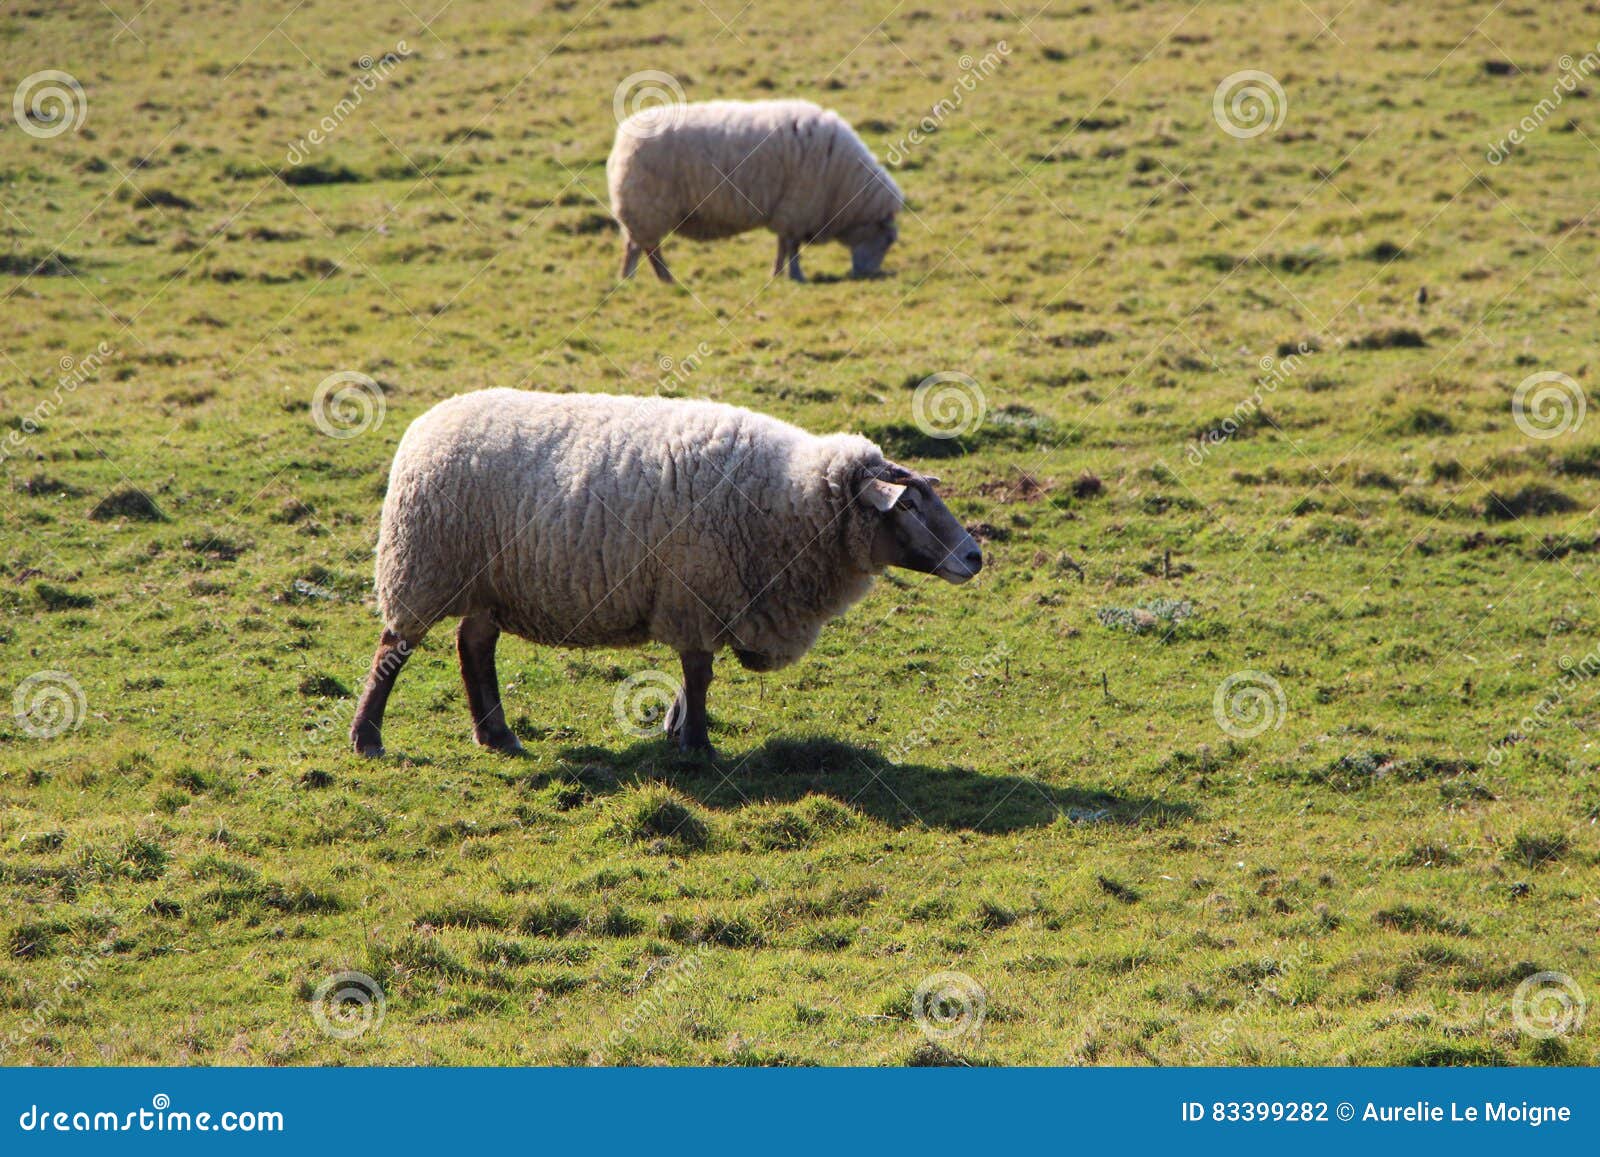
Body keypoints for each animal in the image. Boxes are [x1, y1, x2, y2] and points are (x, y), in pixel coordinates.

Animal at [350, 389, 981, 756]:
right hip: (423, 563)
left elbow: (695, 674)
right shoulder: (694, 591)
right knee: (394, 649)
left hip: (486, 581)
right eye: (906, 505)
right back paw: (367, 738)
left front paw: (679, 729)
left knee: (473, 645)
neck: (788, 500)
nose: (975, 556)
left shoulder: (706, 598)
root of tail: (427, 422)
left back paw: (498, 736)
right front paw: (697, 748)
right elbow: (699, 675)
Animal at [607, 99, 903, 284]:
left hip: (643, 208)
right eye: (887, 241)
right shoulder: (797, 208)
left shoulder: (790, 212)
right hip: (647, 205)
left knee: (636, 246)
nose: (867, 275)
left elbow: (784, 246)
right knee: (647, 249)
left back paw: (629, 279)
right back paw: (661, 279)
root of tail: (623, 138)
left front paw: (779, 274)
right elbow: (792, 247)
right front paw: (795, 275)